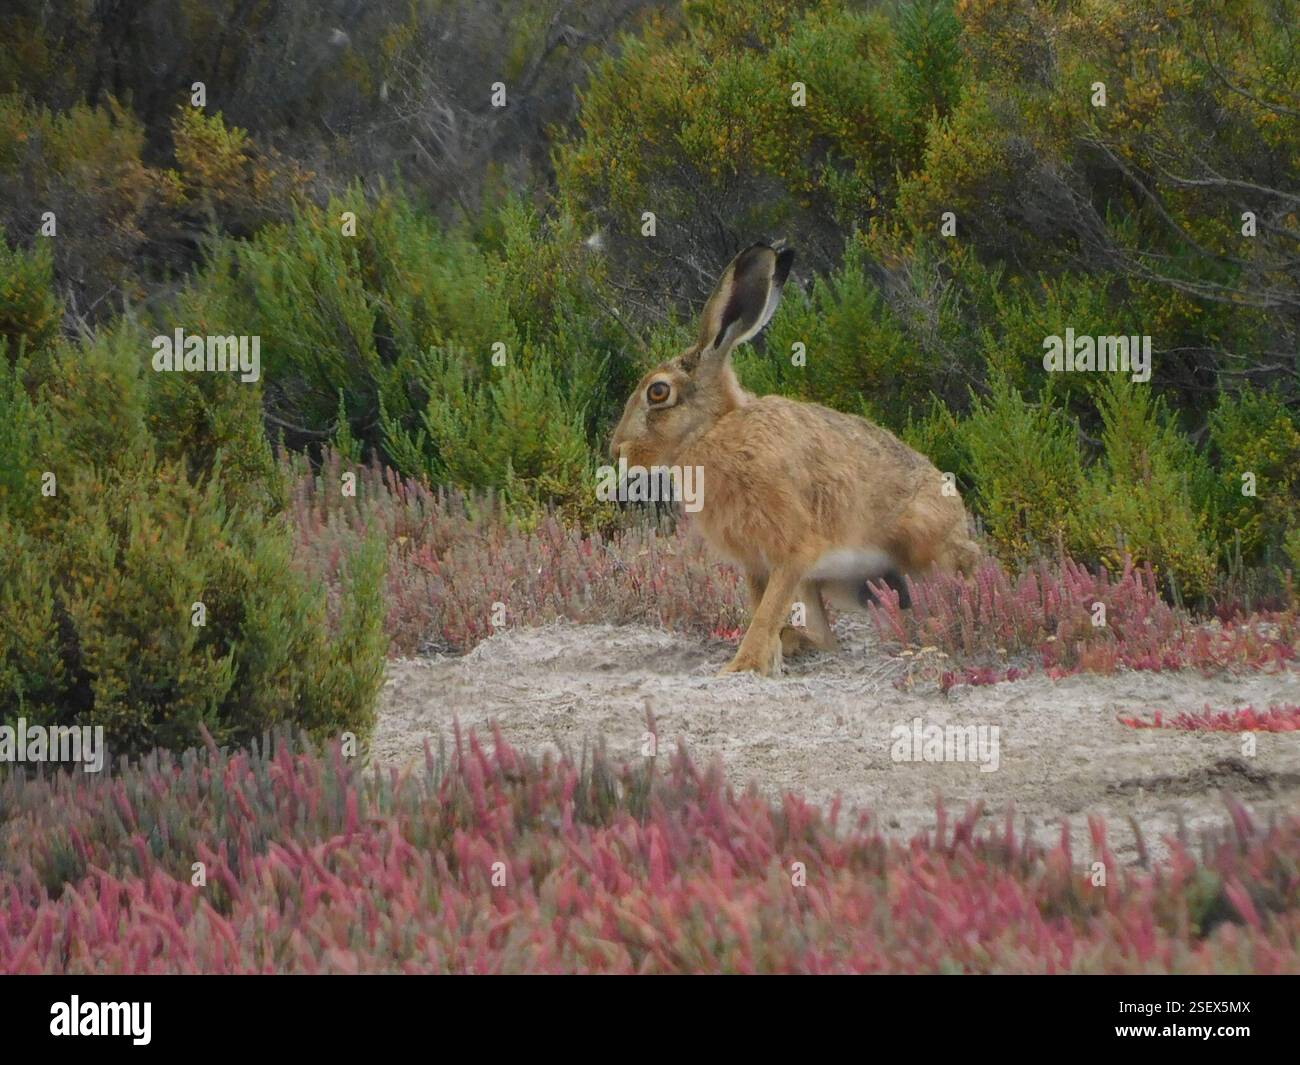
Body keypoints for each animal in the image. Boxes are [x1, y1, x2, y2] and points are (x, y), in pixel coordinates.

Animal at [609, 242, 980, 676]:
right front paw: (768, 660)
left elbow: (766, 612)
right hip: (832, 582)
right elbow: (761, 607)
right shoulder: (756, 563)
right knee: (831, 638)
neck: (714, 429)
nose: (618, 450)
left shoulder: (792, 550)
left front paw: (742, 667)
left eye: (658, 392)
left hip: (923, 545)